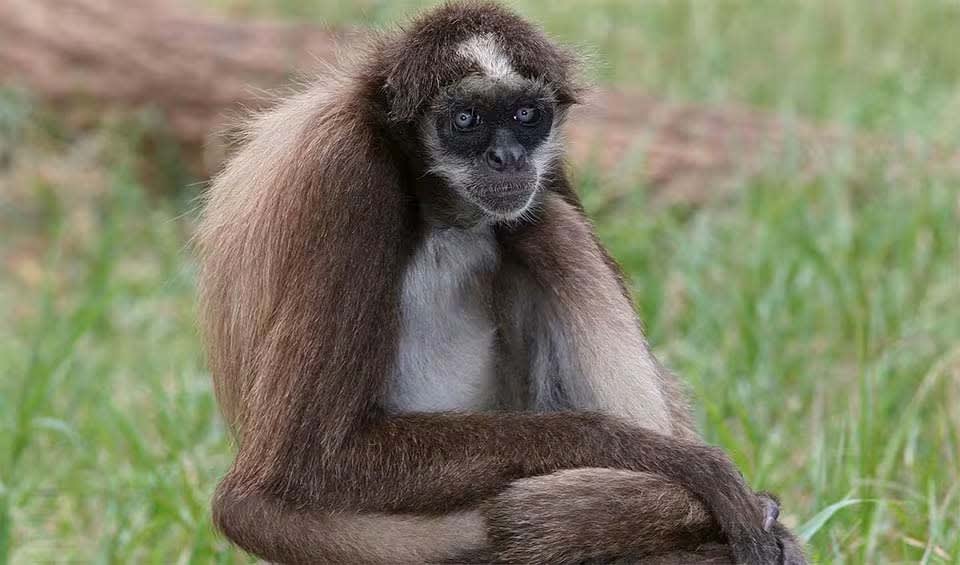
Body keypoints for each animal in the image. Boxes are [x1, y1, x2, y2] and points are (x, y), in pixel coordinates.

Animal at [196, 2, 806, 564]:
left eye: (525, 114)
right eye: (465, 119)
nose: (508, 156)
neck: (440, 207)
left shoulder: (545, 169)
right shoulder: (349, 178)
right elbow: (303, 468)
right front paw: (667, 459)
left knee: (540, 223)